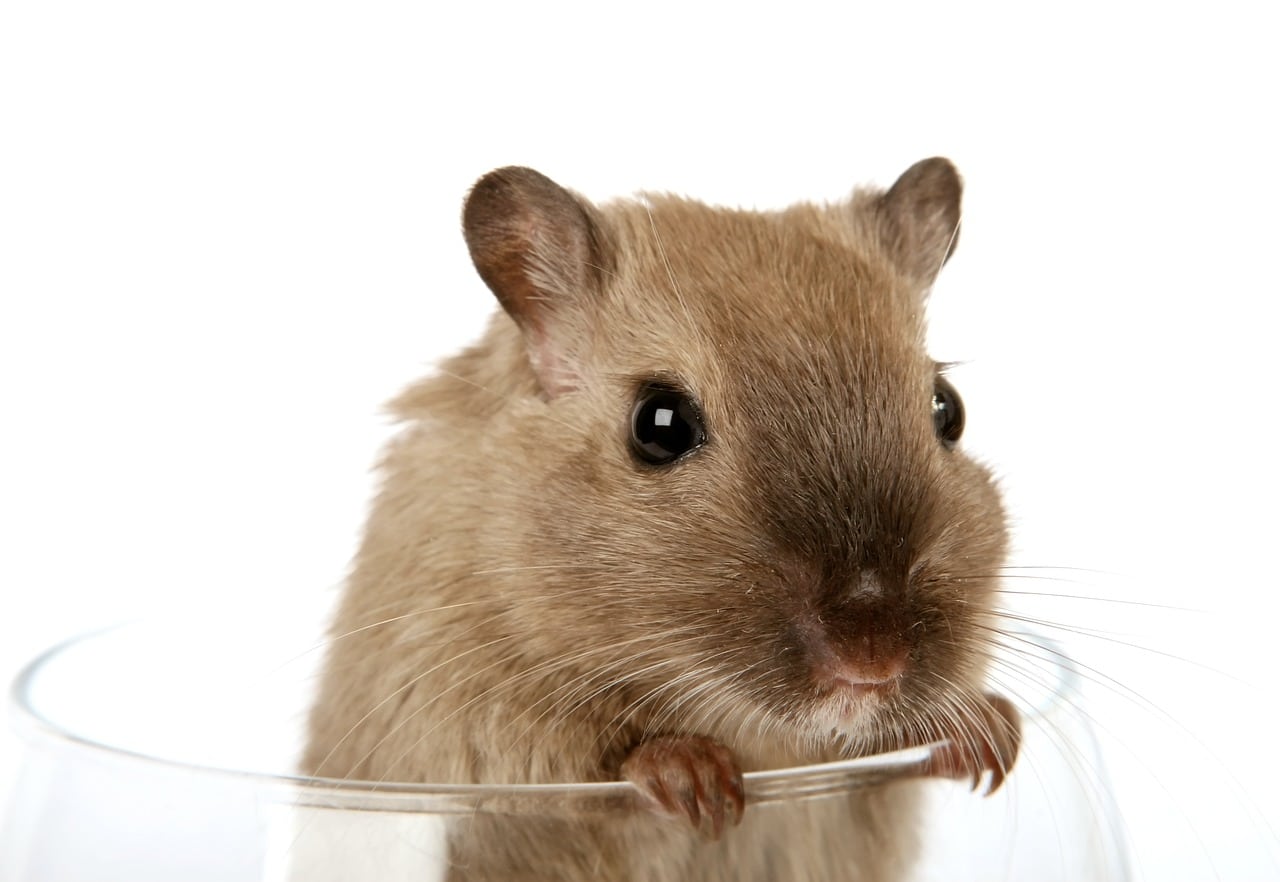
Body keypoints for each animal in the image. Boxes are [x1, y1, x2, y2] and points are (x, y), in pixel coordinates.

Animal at [303, 158, 1020, 881]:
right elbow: (590, 760)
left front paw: (990, 734)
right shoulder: (457, 718)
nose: (872, 663)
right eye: (659, 425)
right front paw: (698, 782)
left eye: (947, 408)